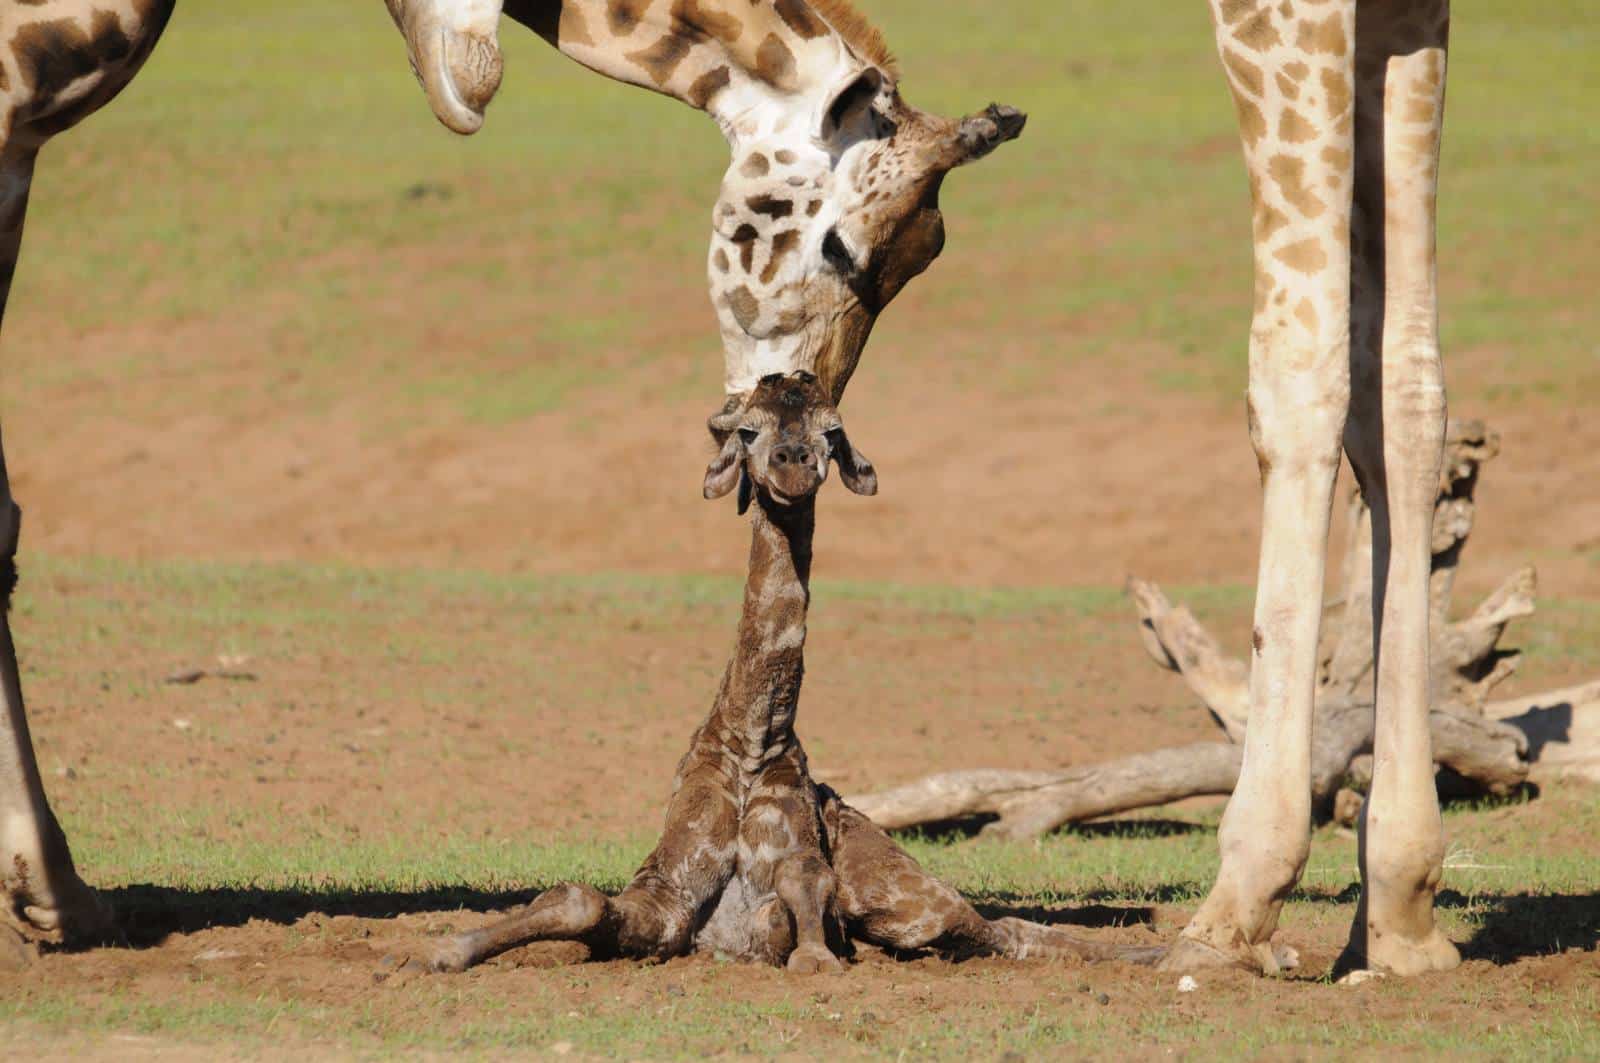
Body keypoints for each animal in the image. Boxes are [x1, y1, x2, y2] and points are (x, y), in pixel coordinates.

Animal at [426, 372, 1163, 974]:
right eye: (749, 429)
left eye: (831, 432)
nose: (793, 462)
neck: (754, 737)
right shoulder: (665, 893)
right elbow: (579, 898)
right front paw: (447, 949)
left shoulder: (791, 876)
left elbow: (795, 906)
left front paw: (819, 951)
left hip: (902, 891)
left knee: (998, 926)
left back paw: (1156, 953)